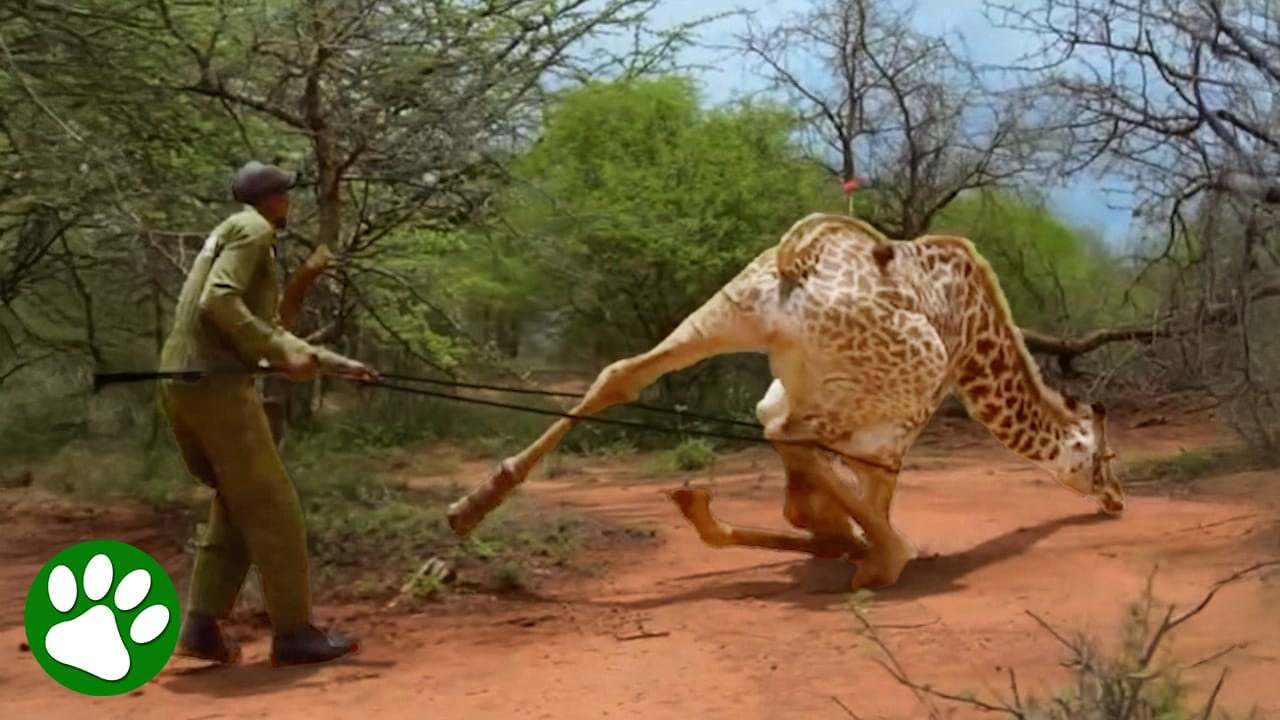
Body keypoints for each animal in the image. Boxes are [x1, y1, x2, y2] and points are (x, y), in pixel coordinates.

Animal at [445, 213, 1126, 590]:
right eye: (1102, 460)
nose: (1117, 502)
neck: (982, 350)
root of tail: (802, 260)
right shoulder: (904, 412)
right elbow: (859, 491)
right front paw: (867, 553)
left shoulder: (791, 396)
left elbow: (804, 501)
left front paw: (833, 535)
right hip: (898, 373)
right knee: (789, 440)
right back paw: (885, 555)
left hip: (728, 311)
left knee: (620, 375)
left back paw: (470, 507)